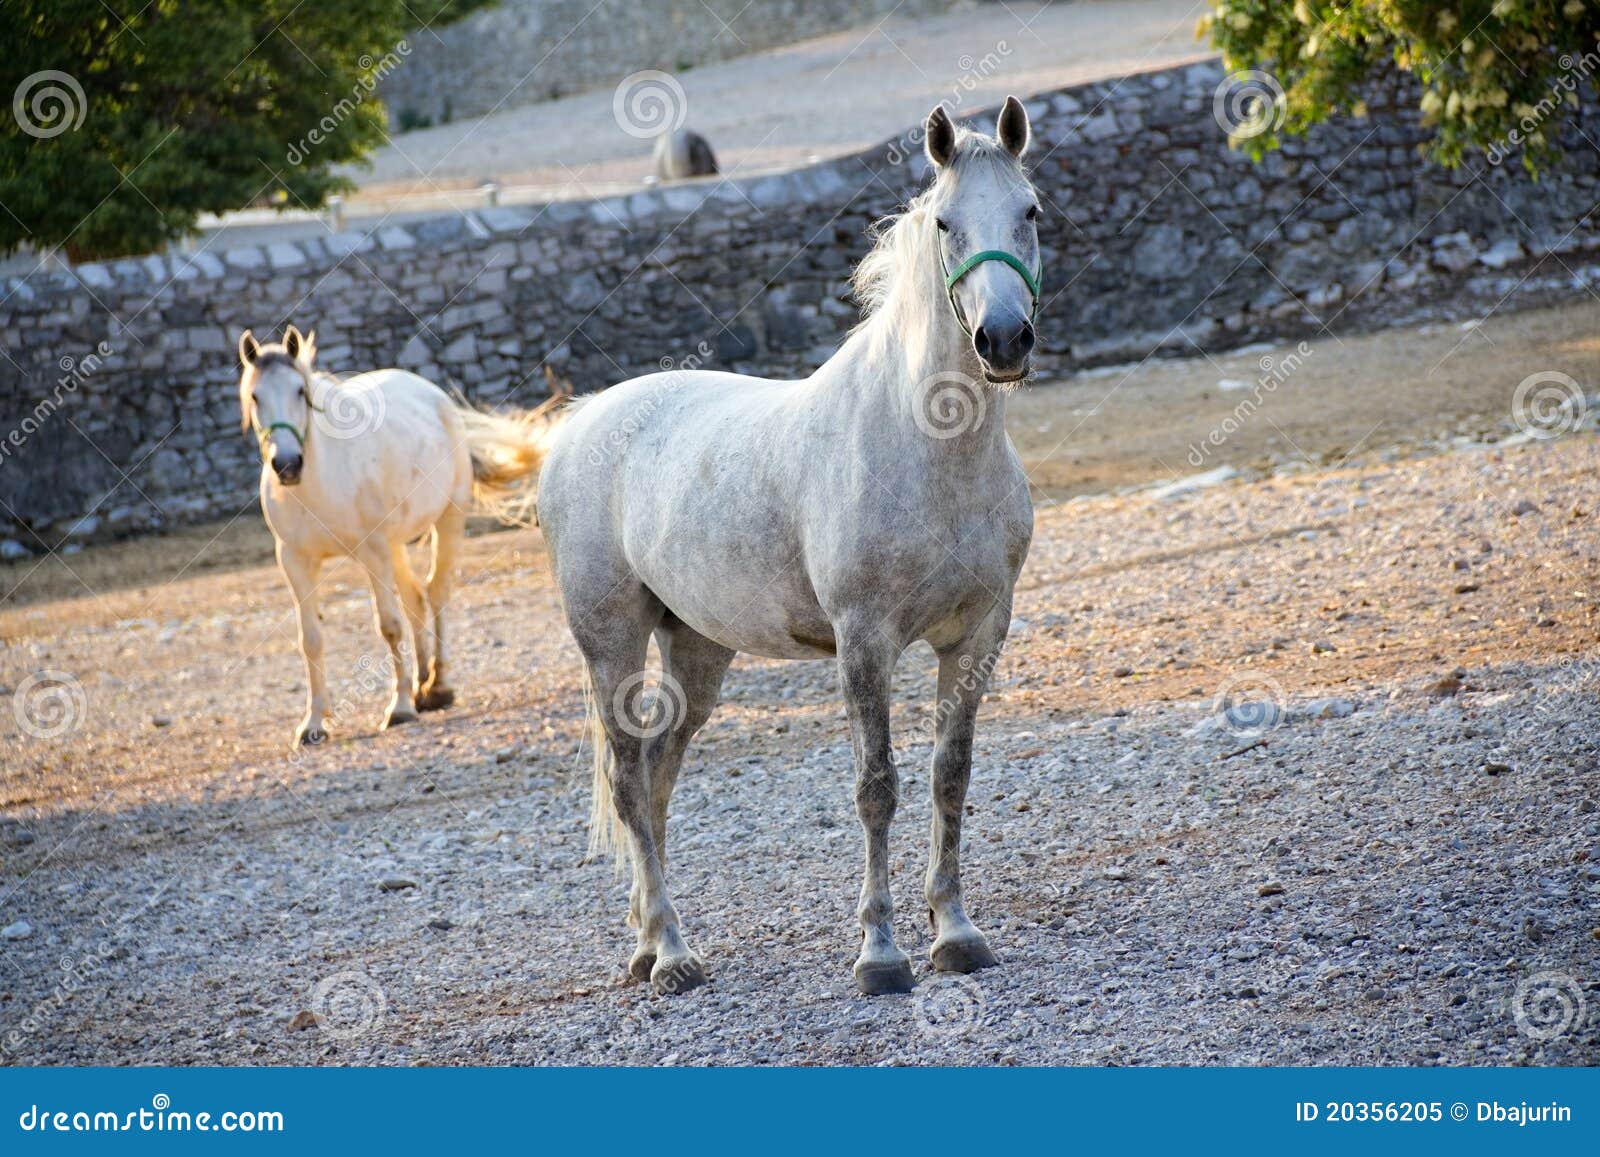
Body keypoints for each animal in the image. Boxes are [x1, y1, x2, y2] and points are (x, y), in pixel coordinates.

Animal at [237, 325, 564, 747]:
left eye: (299, 391)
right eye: (255, 396)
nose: (287, 464)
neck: (318, 483)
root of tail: (430, 392)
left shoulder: (372, 550)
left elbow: (389, 627)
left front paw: (400, 707)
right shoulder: (294, 561)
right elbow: (310, 638)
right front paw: (313, 724)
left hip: (447, 520)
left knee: (436, 591)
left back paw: (437, 686)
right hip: (395, 546)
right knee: (415, 598)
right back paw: (423, 682)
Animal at [537, 97, 1041, 995]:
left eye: (1031, 212)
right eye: (944, 222)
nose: (1004, 339)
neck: (927, 446)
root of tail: (577, 427)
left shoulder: (978, 633)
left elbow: (950, 775)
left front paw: (955, 932)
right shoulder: (864, 641)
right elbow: (877, 786)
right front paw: (880, 952)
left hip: (698, 652)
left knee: (657, 777)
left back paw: (646, 940)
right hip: (612, 645)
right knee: (629, 783)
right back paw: (674, 953)